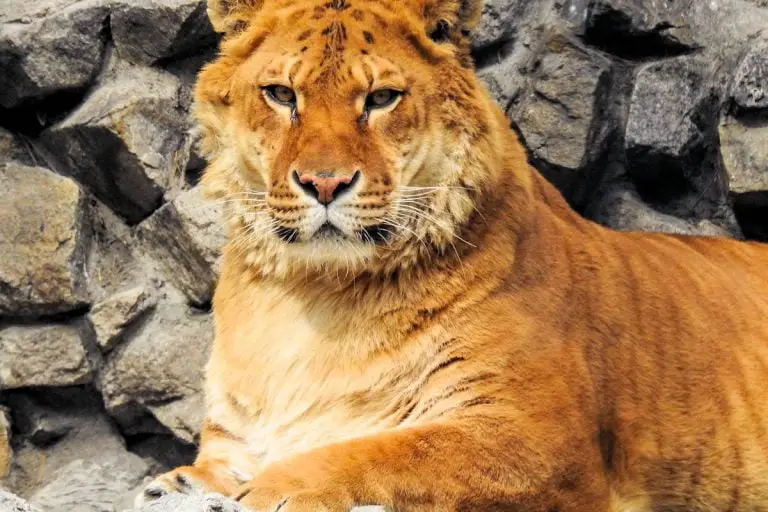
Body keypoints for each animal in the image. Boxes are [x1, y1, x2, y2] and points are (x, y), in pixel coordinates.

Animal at [136, 0, 768, 510]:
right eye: (281, 95)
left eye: (381, 99)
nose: (324, 183)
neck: (311, 294)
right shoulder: (236, 435)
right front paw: (177, 485)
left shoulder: (541, 443)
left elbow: (384, 454)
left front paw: (276, 487)